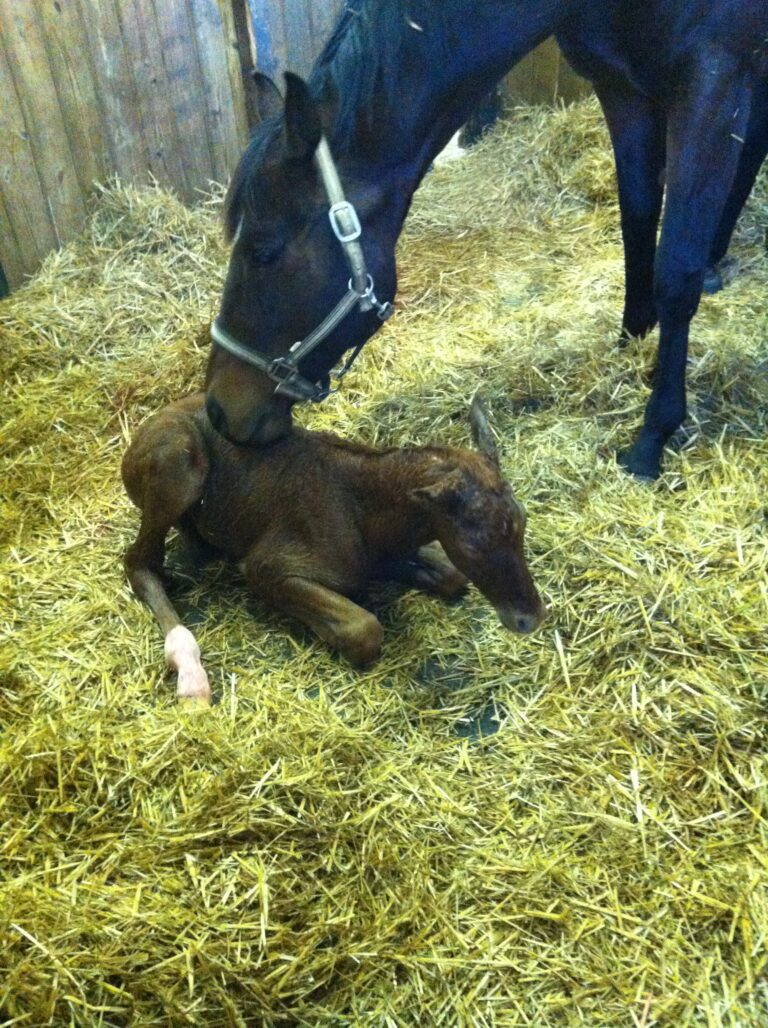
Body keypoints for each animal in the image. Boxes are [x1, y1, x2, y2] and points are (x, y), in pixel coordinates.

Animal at [122, 395, 544, 702]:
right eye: (475, 543)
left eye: (522, 522)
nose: (529, 618)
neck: (363, 512)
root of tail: (134, 443)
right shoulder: (267, 567)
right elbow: (363, 629)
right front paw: (327, 631)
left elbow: (449, 576)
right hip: (178, 469)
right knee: (139, 564)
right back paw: (191, 678)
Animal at [204, 0, 768, 480]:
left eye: (264, 251)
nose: (217, 410)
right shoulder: (621, 87)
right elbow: (637, 217)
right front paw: (631, 338)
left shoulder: (713, 80)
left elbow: (675, 271)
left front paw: (653, 435)